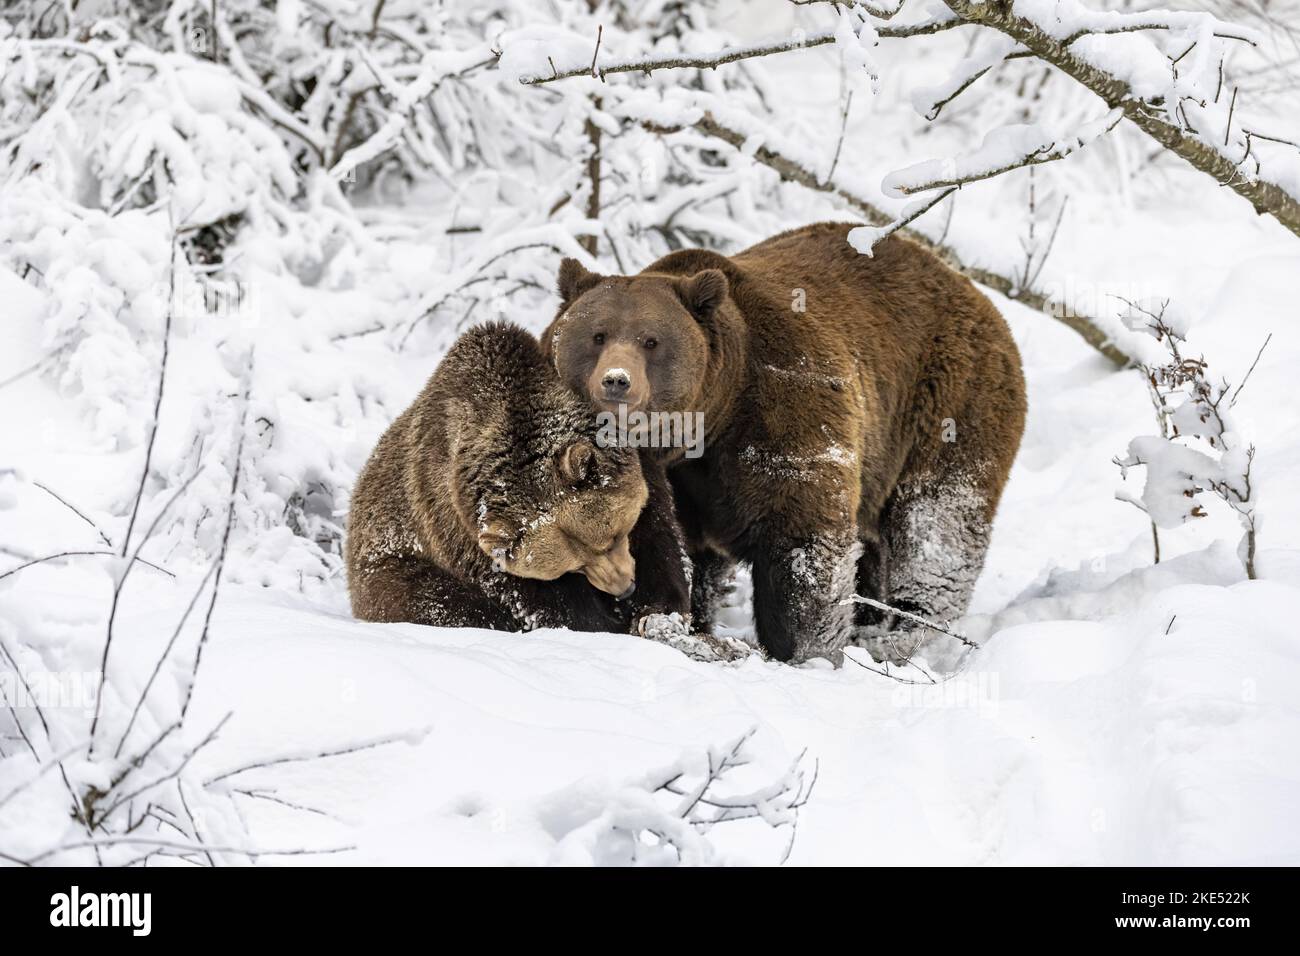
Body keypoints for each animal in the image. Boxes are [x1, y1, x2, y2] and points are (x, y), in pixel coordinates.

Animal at [346, 321, 691, 636]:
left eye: (615, 536)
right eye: (574, 566)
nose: (624, 587)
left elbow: (659, 538)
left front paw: (657, 610)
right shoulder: (457, 523)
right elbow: (529, 594)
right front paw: (600, 624)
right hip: (389, 568)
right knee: (443, 601)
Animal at [541, 222, 1027, 665]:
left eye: (650, 341)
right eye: (597, 335)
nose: (616, 381)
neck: (708, 422)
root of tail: (969, 288)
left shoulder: (786, 409)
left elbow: (803, 540)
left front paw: (802, 650)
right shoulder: (667, 476)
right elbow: (659, 543)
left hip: (948, 401)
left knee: (937, 524)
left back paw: (904, 629)